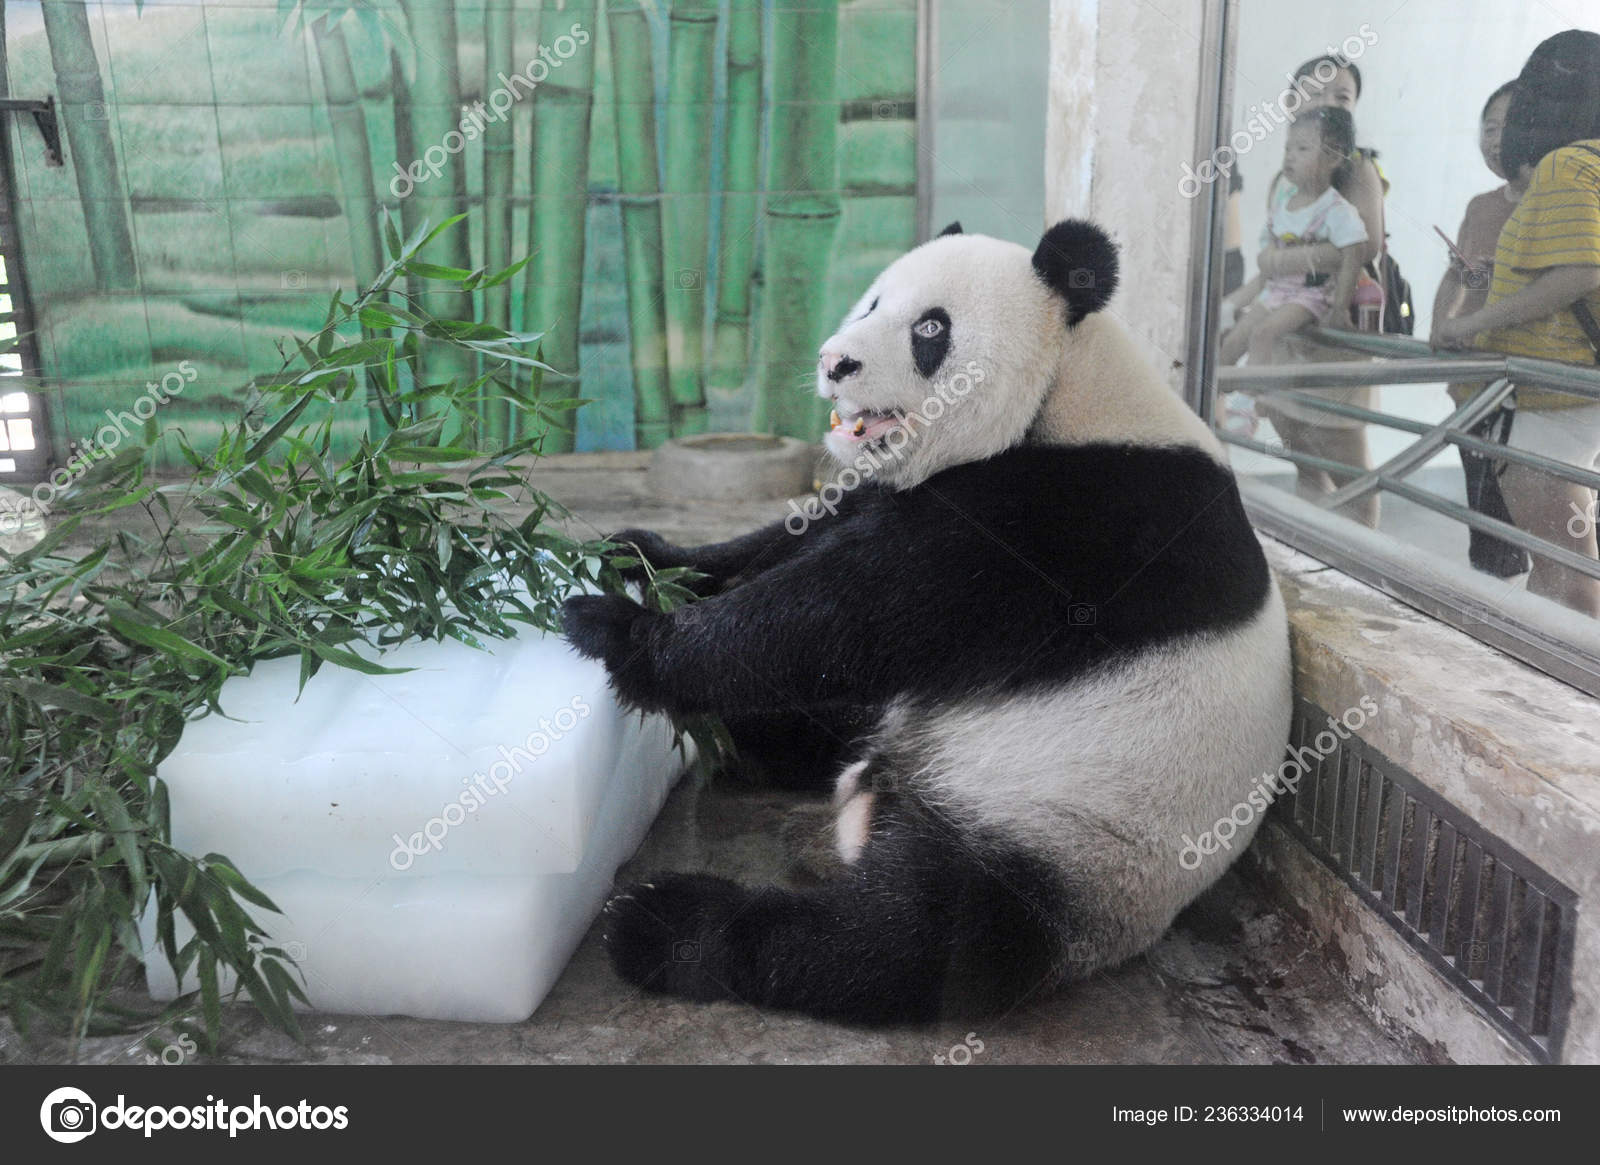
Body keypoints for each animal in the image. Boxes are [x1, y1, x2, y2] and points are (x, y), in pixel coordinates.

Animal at [561, 219, 1293, 1024]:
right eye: (873, 301)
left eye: (930, 329)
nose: (835, 362)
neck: (1067, 387)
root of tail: (881, 799)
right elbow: (801, 538)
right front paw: (641, 556)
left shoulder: (1088, 519)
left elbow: (862, 606)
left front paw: (623, 632)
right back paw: (750, 745)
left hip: (1072, 831)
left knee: (918, 935)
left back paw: (665, 925)